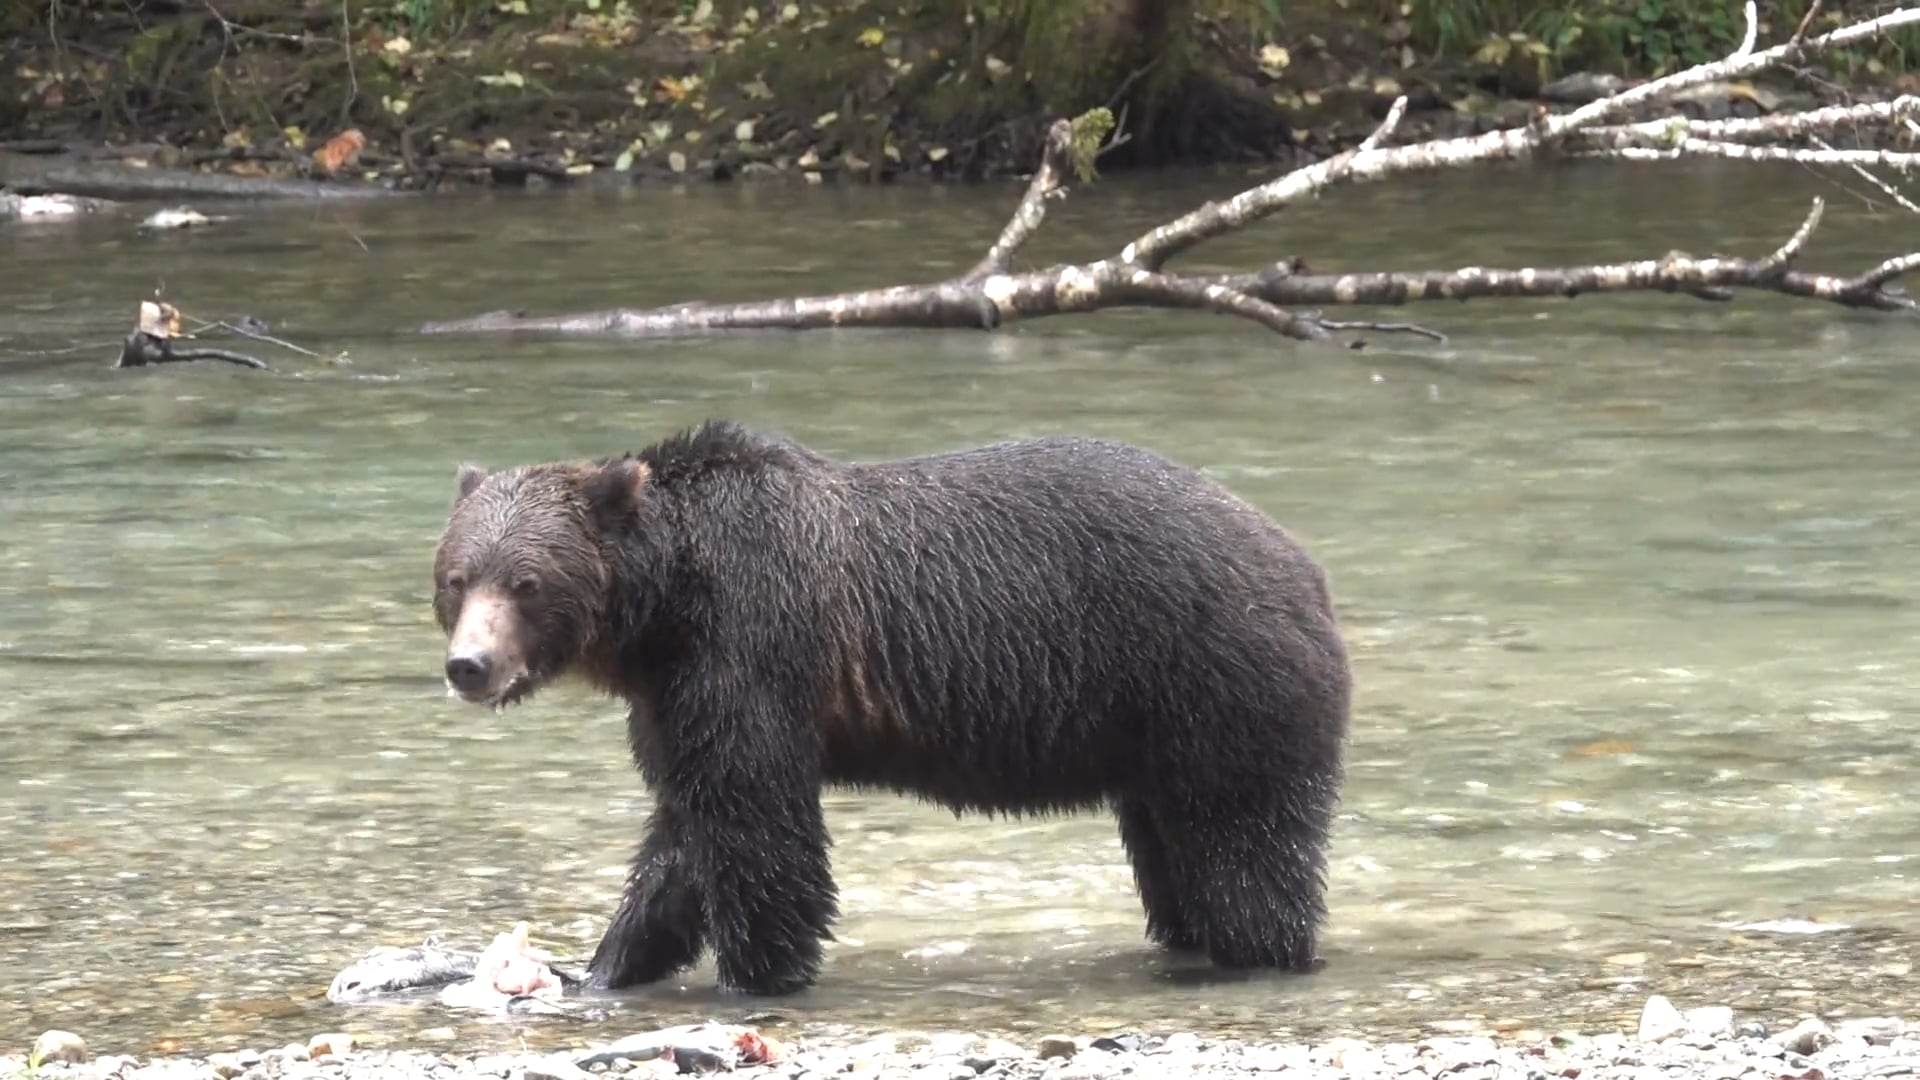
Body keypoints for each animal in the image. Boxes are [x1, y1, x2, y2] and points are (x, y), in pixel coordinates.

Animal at [432, 419, 1351, 997]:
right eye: (456, 577)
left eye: (526, 582)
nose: (469, 666)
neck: (662, 608)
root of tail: (1305, 569)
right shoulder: (676, 695)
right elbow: (684, 835)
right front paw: (603, 966)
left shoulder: (753, 646)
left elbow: (758, 830)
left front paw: (753, 976)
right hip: (1154, 734)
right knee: (1171, 857)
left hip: (1216, 680)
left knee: (1245, 851)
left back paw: (1263, 952)